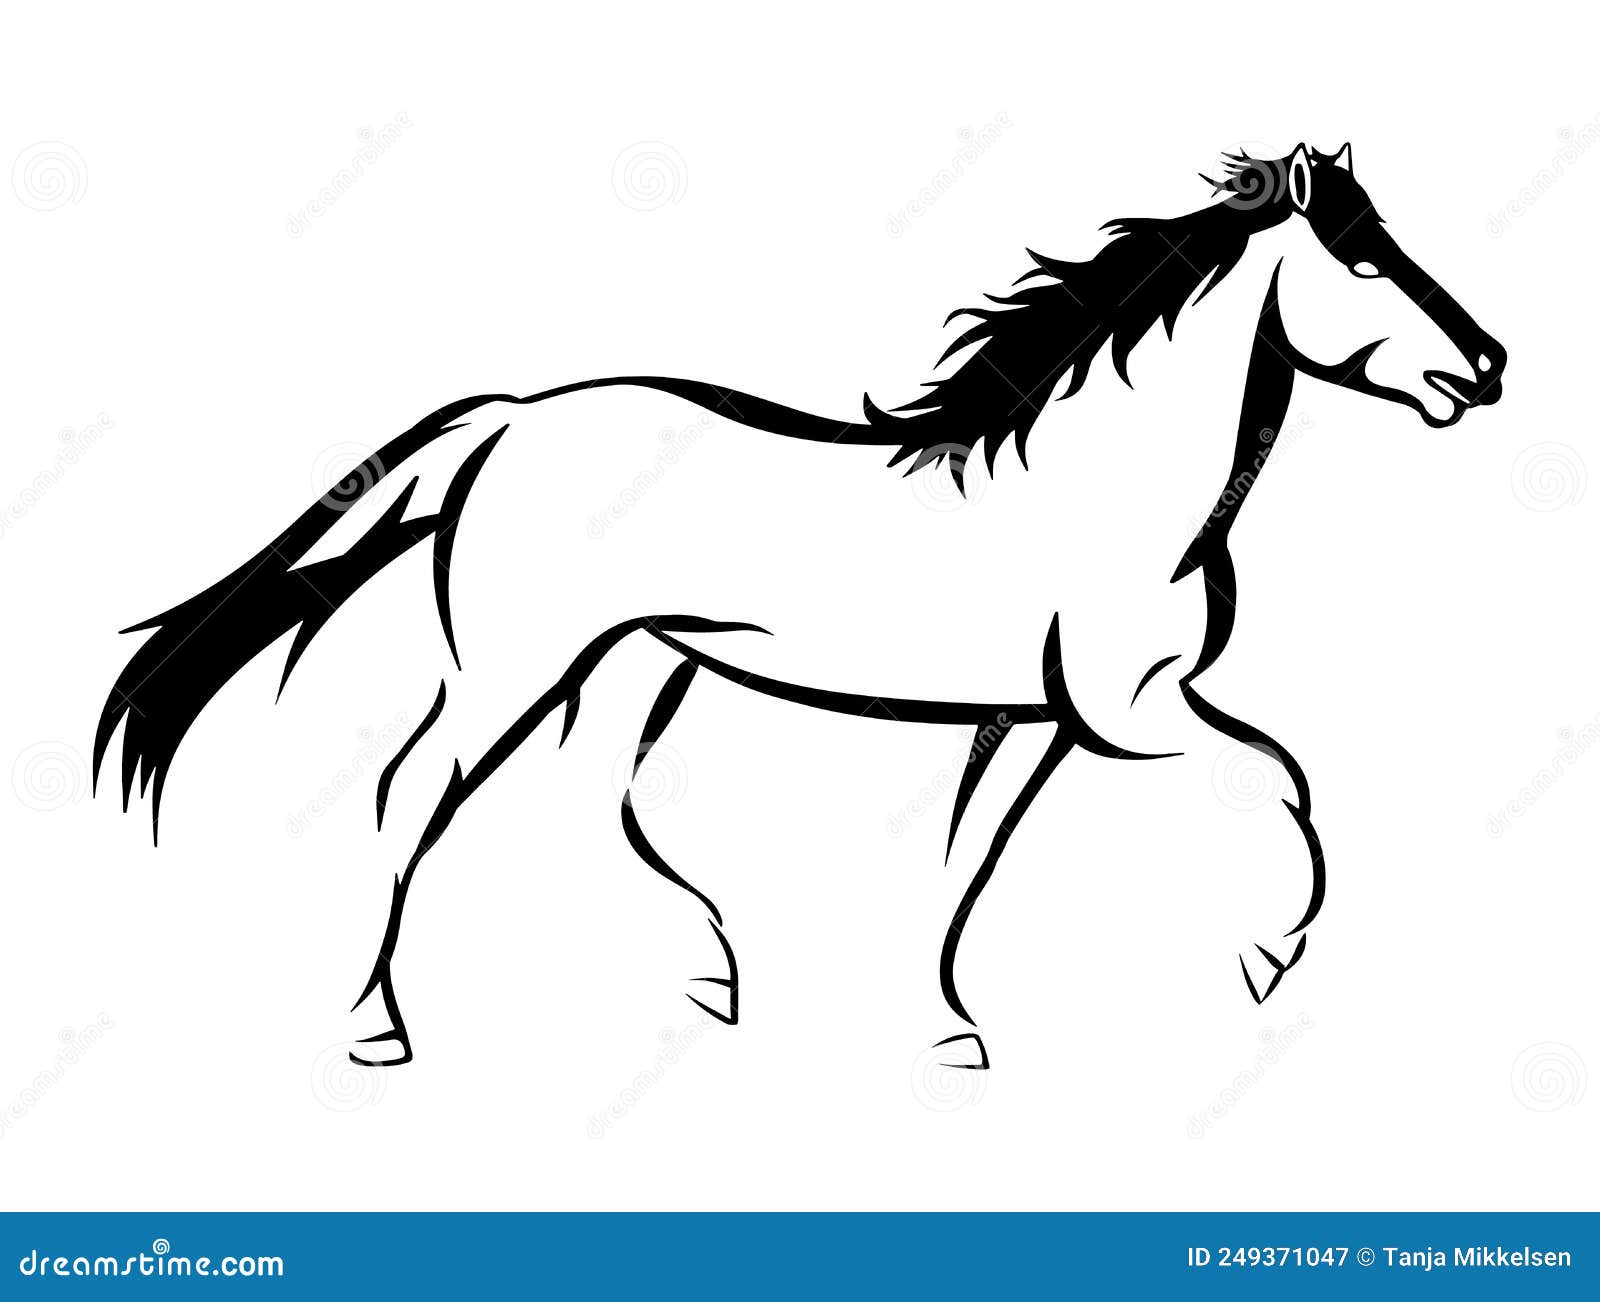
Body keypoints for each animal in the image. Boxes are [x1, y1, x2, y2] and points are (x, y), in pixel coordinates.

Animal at [94, 143, 1507, 1072]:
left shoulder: (1030, 721)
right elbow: (1284, 781)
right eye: (1365, 258)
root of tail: (512, 417)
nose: (1486, 367)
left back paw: (712, 975)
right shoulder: (1128, 712)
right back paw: (377, 1027)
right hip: (511, 669)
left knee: (587, 800)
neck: (1108, 489)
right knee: (409, 794)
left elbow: (967, 859)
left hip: (639, 666)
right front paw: (1268, 957)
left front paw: (948, 1032)